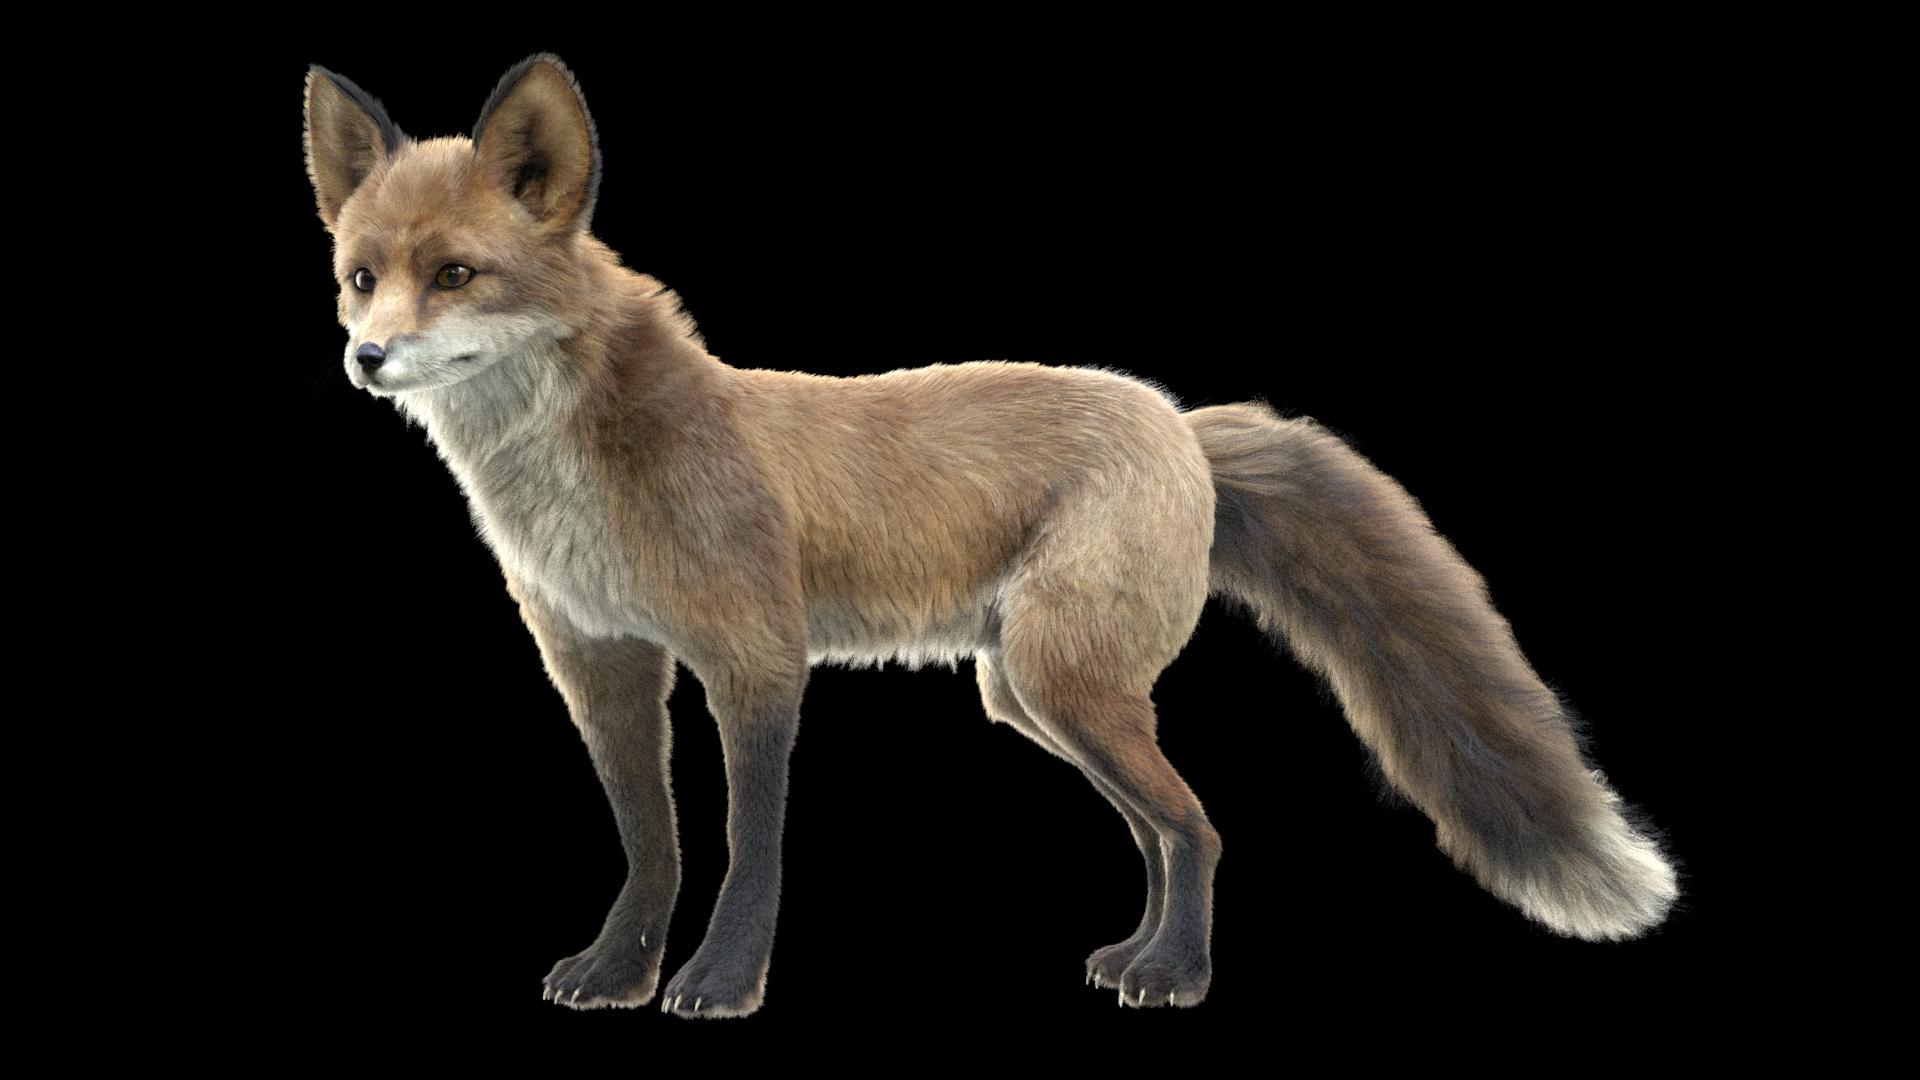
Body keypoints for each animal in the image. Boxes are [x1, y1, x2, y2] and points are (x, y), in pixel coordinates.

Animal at [304, 52, 1681, 1017]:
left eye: (457, 275)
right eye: (362, 277)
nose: (365, 359)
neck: (575, 487)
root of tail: (1177, 419)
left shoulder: (756, 657)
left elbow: (749, 846)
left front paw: (721, 984)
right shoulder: (599, 663)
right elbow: (650, 842)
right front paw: (618, 971)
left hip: (1064, 679)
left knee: (1199, 825)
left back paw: (1177, 977)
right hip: (1028, 692)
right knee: (1162, 828)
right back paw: (1140, 954)